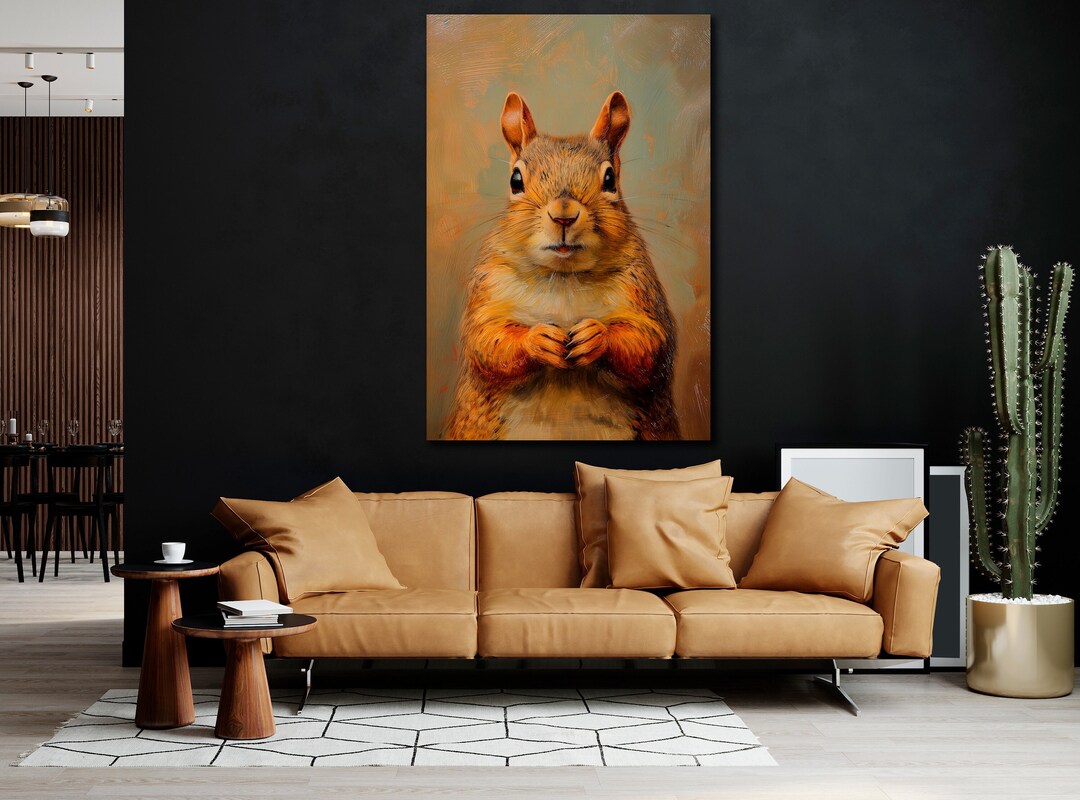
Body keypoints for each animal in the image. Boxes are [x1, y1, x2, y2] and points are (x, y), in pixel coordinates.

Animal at [442, 91, 680, 441]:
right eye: (515, 180)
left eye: (610, 179)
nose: (563, 215)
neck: (564, 276)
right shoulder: (488, 288)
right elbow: (485, 343)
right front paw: (537, 339)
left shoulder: (642, 292)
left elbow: (649, 347)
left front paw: (596, 335)